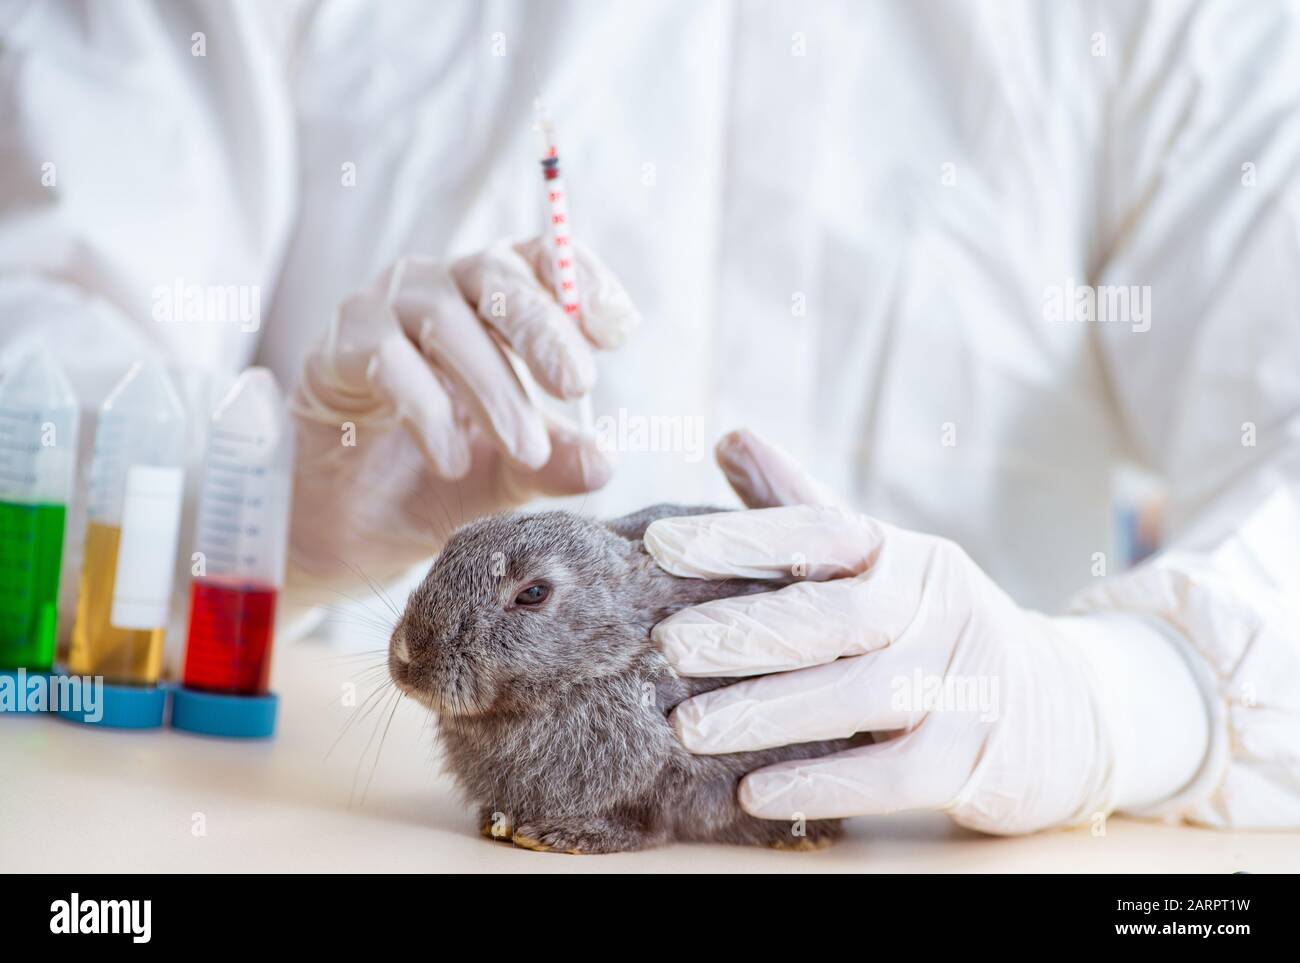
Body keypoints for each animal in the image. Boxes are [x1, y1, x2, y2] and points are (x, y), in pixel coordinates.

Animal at [388, 503, 869, 854]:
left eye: (533, 593)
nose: (409, 655)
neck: (602, 660)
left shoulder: (669, 773)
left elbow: (648, 818)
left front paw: (564, 837)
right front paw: (499, 824)